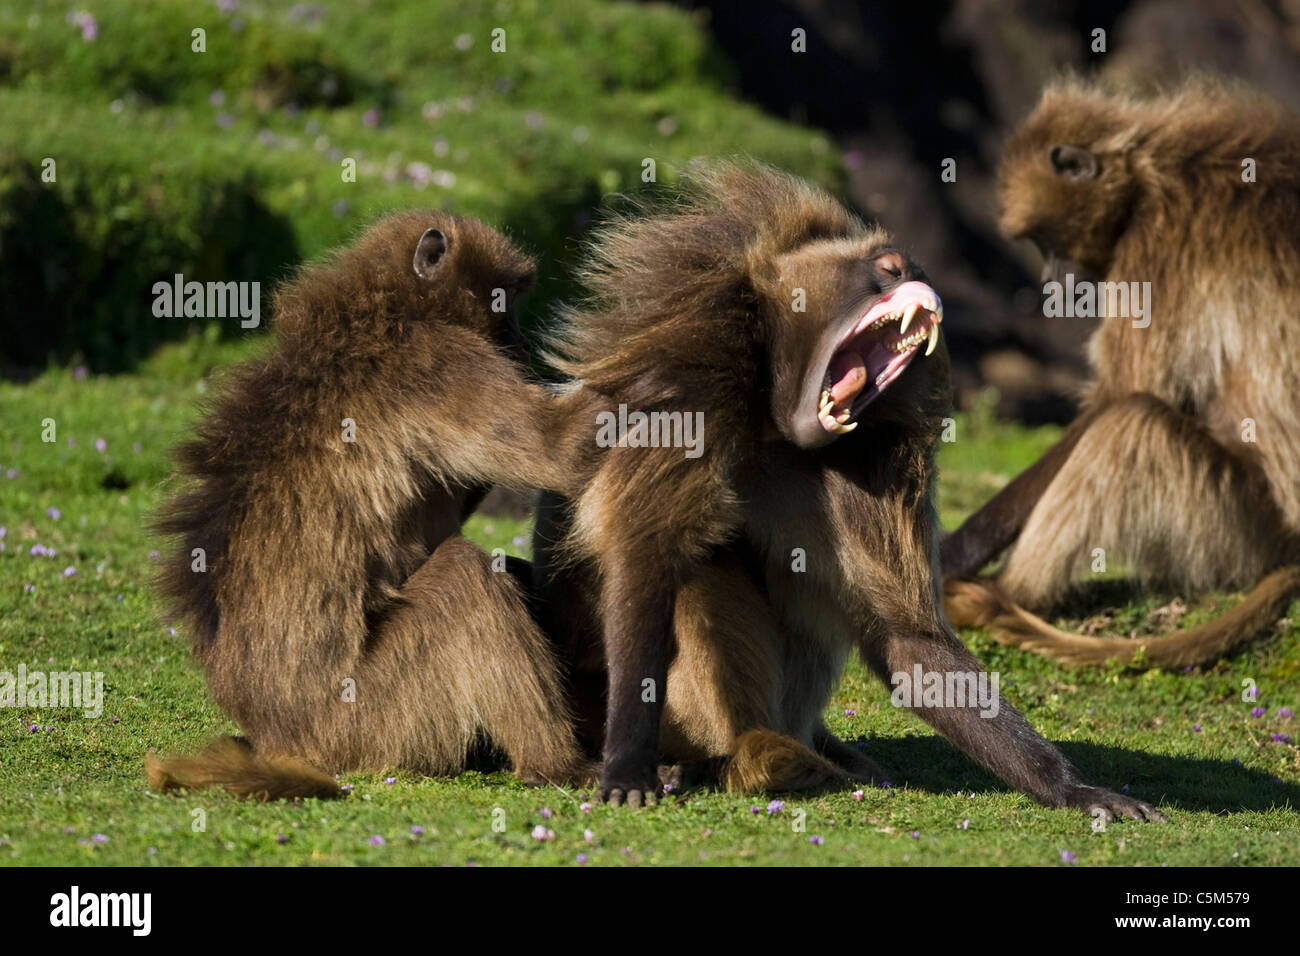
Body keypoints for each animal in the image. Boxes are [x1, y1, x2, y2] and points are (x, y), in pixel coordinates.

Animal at [145, 209, 594, 799]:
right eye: (505, 301)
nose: (520, 346)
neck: (381, 308)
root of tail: (278, 740)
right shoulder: (440, 360)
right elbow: (560, 450)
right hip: (367, 722)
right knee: (466, 577)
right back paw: (559, 767)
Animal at [536, 160, 1164, 821]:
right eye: (888, 267)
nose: (924, 282)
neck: (773, 422)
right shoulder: (694, 378)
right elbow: (646, 554)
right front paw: (628, 766)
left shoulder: (868, 477)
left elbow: (905, 640)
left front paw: (1073, 789)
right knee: (699, 563)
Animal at [940, 77, 1300, 669]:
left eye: (1046, 241)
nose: (1049, 280)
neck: (1151, 170)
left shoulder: (1158, 245)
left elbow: (1118, 396)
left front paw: (949, 552)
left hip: (1244, 529)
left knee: (1132, 421)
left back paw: (1004, 596)